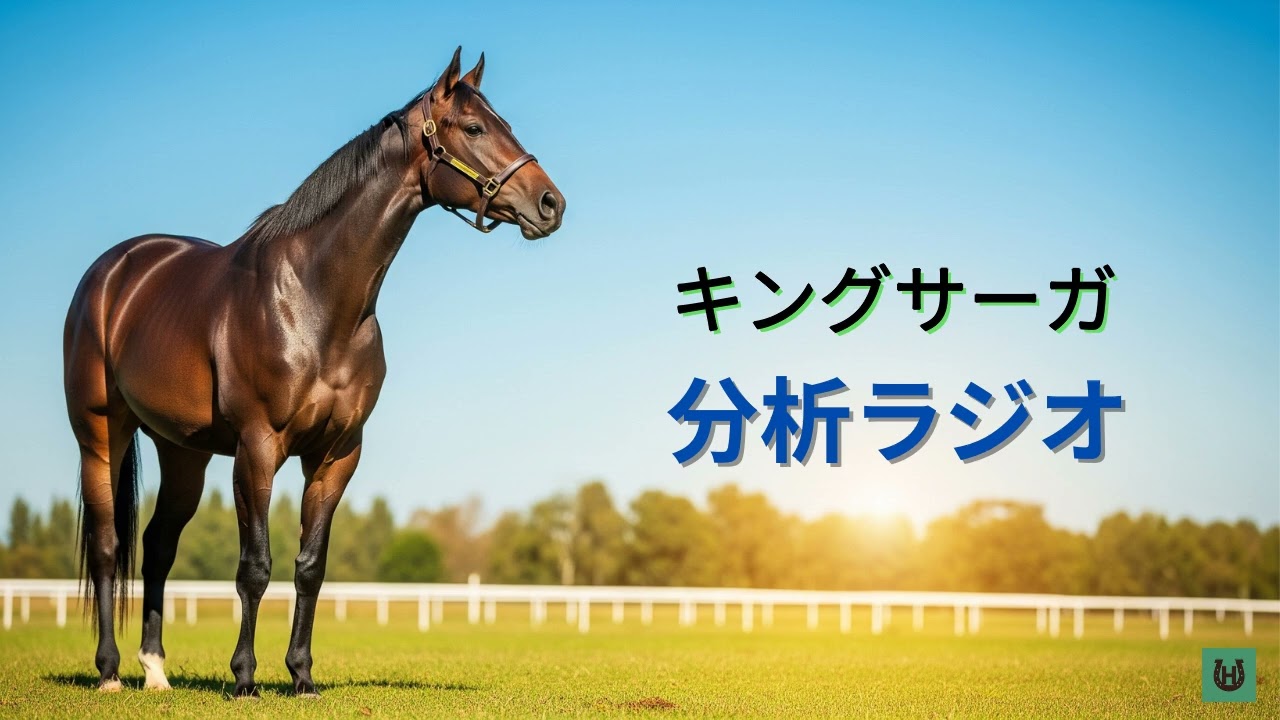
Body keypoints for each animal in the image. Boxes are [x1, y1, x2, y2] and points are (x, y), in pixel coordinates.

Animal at [62, 47, 564, 697]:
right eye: (475, 128)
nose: (551, 203)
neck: (314, 299)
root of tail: (113, 271)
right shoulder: (257, 449)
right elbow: (255, 568)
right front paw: (245, 677)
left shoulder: (336, 455)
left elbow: (310, 567)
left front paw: (301, 675)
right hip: (101, 435)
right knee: (107, 547)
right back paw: (109, 672)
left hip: (184, 453)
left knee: (156, 547)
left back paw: (155, 671)